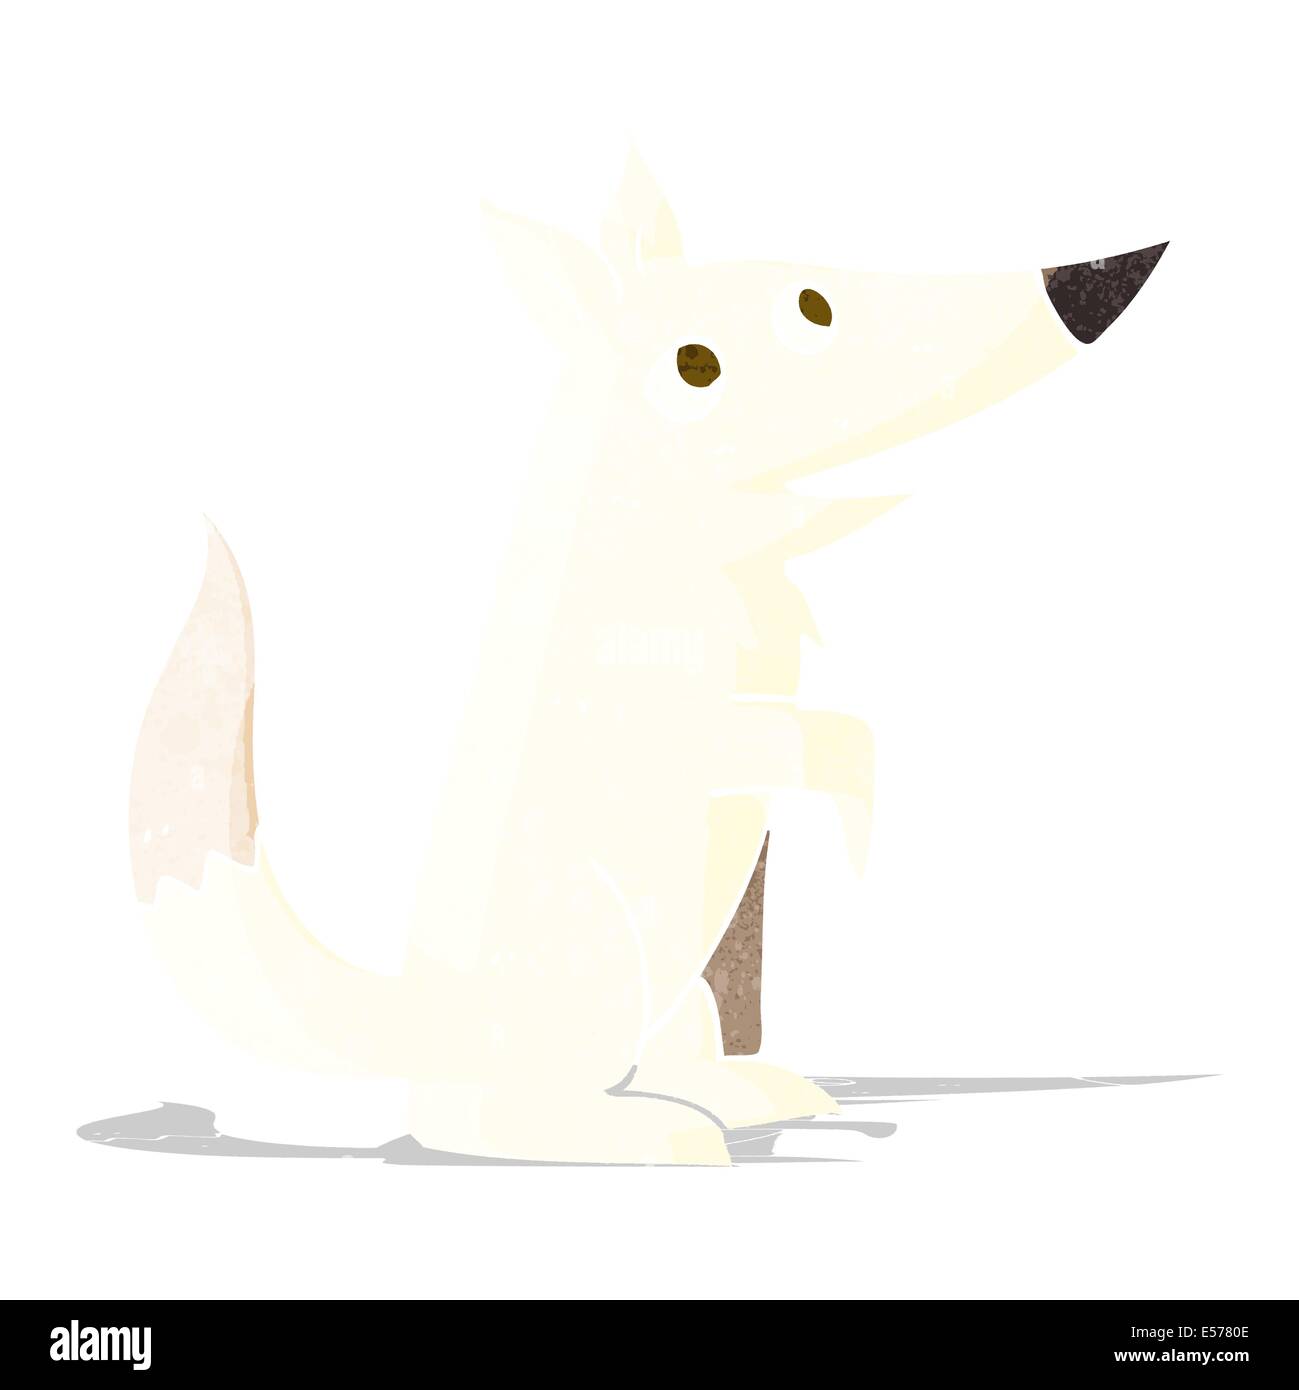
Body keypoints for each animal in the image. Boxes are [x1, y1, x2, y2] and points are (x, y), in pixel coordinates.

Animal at [128, 156, 1165, 1165]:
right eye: (813, 305)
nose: (1088, 282)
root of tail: (431, 1010)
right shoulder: (670, 726)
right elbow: (825, 740)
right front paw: (861, 821)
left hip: (678, 973)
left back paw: (739, 1096)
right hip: (593, 951)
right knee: (474, 1120)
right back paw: (647, 1134)